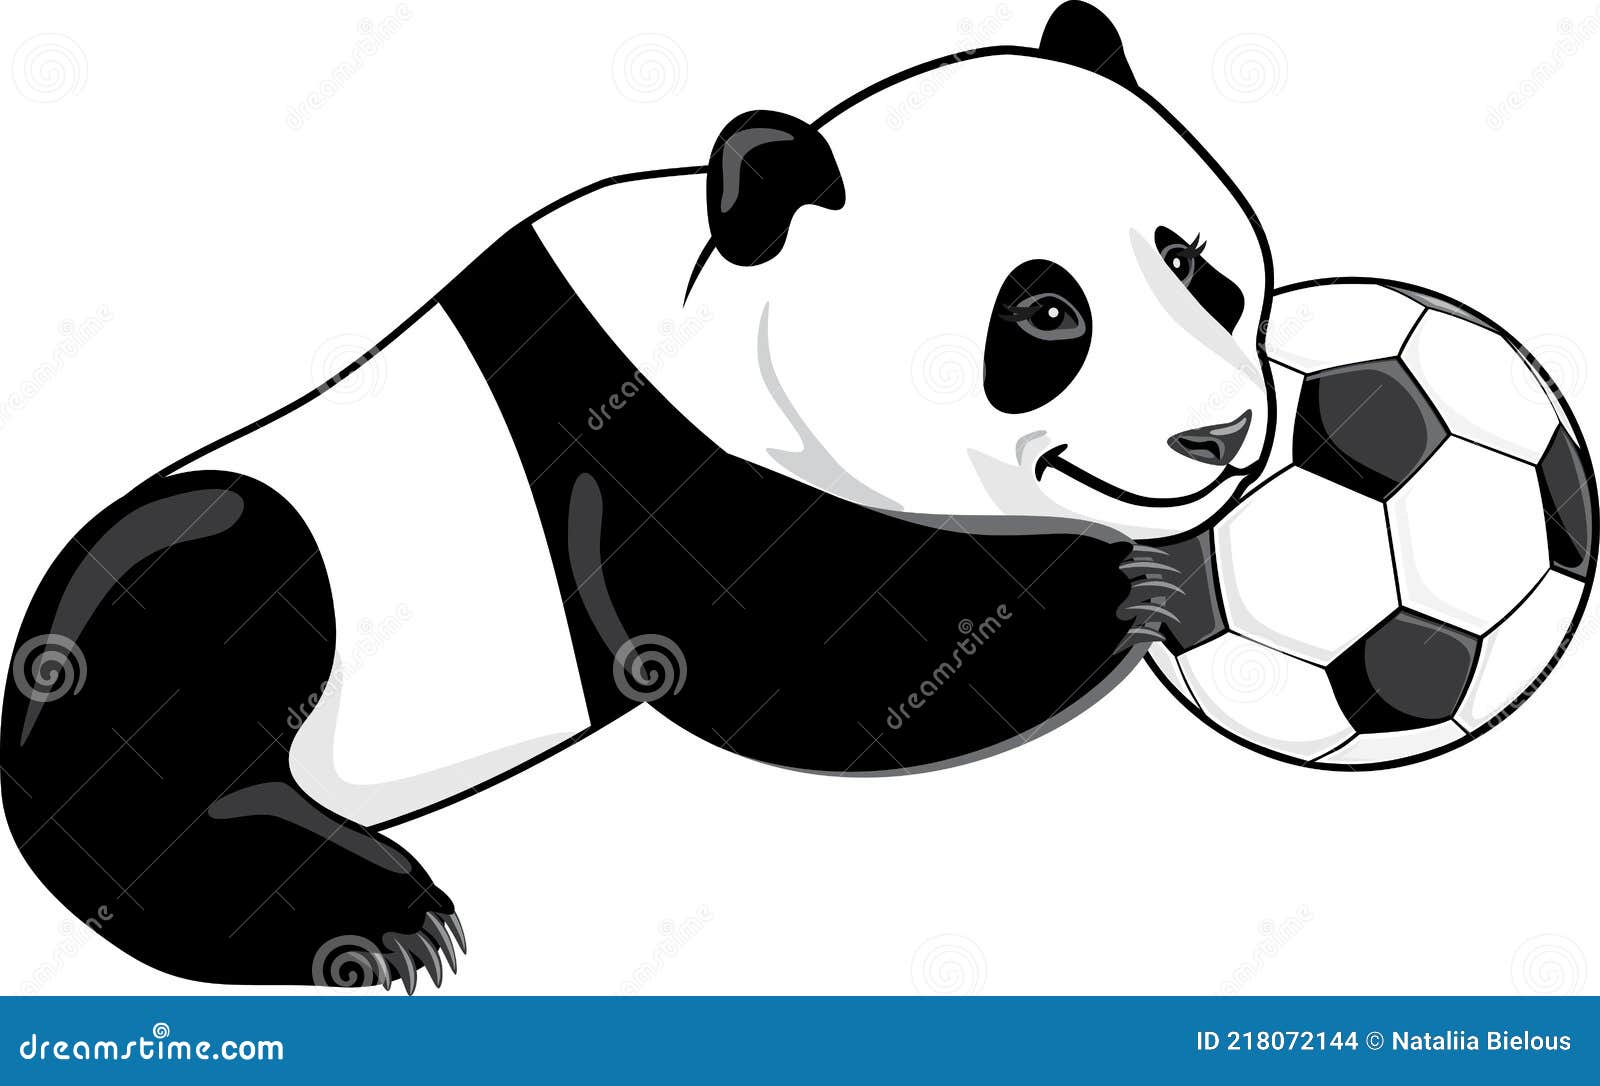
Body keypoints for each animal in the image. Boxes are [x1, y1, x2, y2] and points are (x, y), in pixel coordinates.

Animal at [0, 3, 1272, 991]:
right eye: (1046, 314)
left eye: (1193, 263)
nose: (1217, 438)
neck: (714, 301)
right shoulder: (634, 456)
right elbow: (789, 655)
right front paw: (1115, 587)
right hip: (232, 571)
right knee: (175, 670)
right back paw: (372, 918)